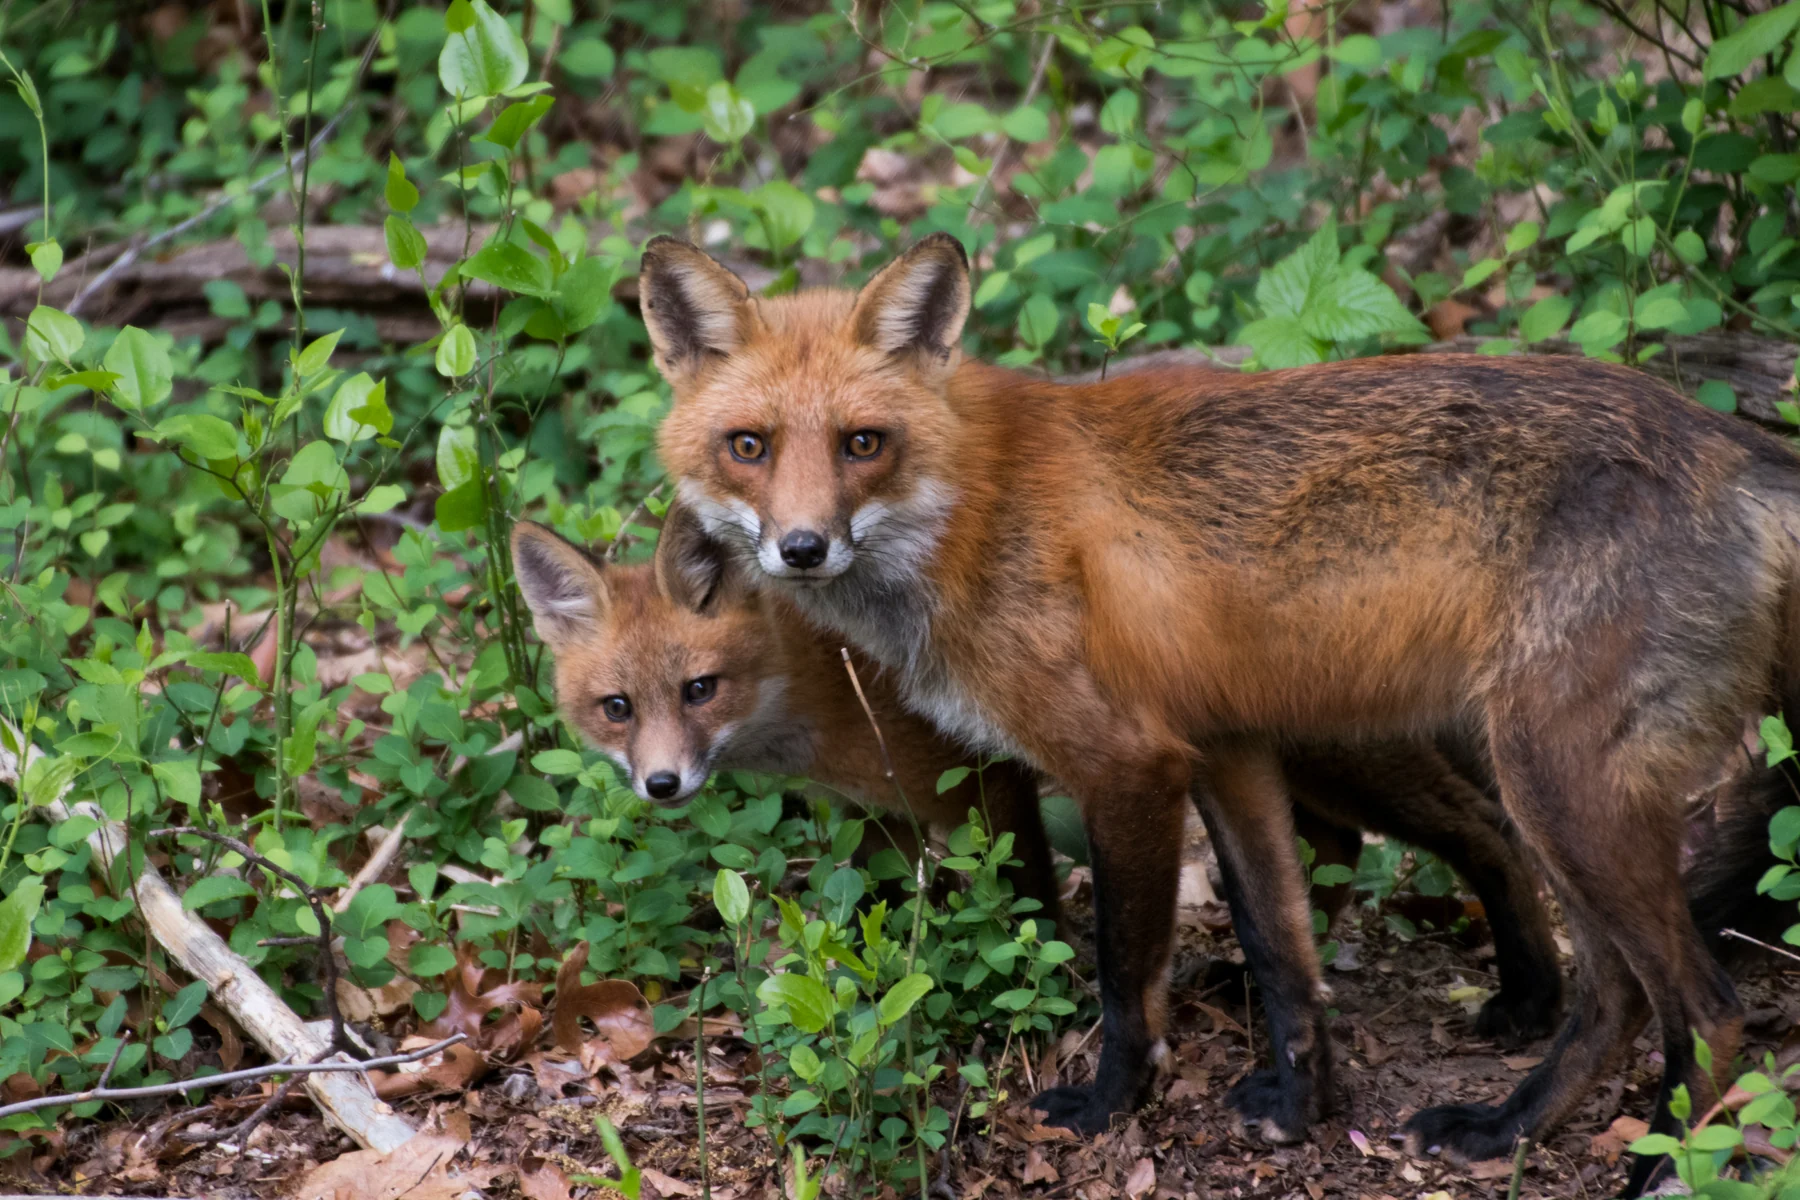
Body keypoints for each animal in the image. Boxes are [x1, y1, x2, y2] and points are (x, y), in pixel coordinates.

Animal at [641, 231, 1800, 1192]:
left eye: (861, 443)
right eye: (748, 446)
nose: (801, 549)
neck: (970, 509)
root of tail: (1741, 448)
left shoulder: (1129, 765)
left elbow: (1123, 971)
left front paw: (1111, 1102)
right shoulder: (1224, 747)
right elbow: (1282, 951)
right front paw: (1299, 1105)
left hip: (1561, 792)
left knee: (1705, 1006)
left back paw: (1666, 1169)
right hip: (1548, 794)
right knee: (1612, 996)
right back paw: (1506, 1129)